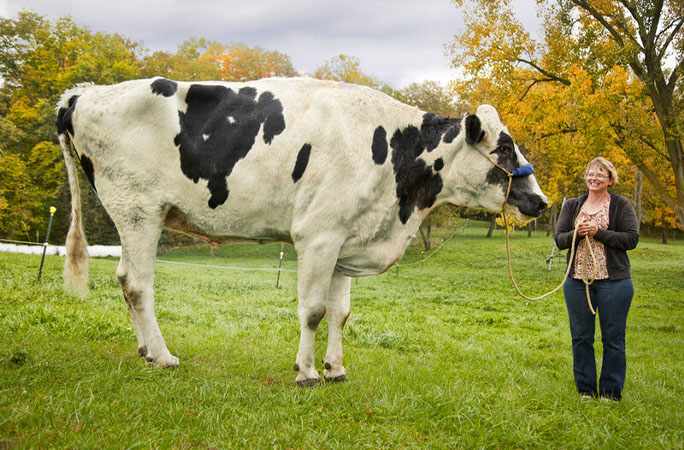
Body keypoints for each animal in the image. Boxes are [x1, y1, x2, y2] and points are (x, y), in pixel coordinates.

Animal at [57, 77, 547, 385]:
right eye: (504, 146)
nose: (541, 201)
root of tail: (84, 94)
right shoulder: (318, 235)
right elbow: (312, 310)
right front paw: (308, 373)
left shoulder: (347, 238)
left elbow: (340, 313)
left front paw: (335, 369)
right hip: (139, 211)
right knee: (138, 284)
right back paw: (162, 356)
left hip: (135, 217)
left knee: (125, 279)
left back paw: (145, 351)